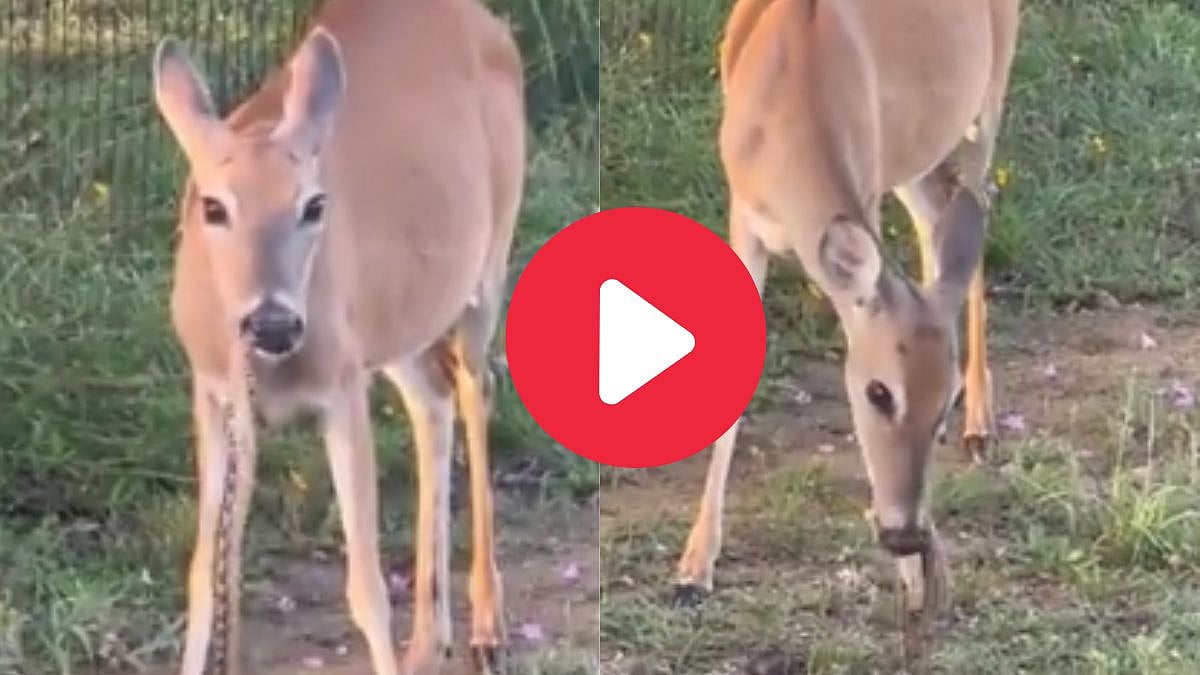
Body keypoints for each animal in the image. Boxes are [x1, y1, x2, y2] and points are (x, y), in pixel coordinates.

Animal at [150, 0, 524, 673]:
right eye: (213, 207)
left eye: (314, 206)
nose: (273, 322)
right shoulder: (215, 392)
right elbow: (206, 575)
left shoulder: (341, 385)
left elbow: (366, 586)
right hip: (398, 317)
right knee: (433, 400)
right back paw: (429, 640)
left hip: (487, 261)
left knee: (476, 389)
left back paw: (486, 625)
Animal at [674, 0, 1021, 632]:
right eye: (879, 393)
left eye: (944, 402)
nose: (905, 535)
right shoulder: (744, 214)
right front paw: (693, 570)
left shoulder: (868, 179)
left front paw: (916, 582)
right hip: (918, 156)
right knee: (942, 225)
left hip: (987, 95)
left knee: (974, 205)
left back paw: (982, 427)